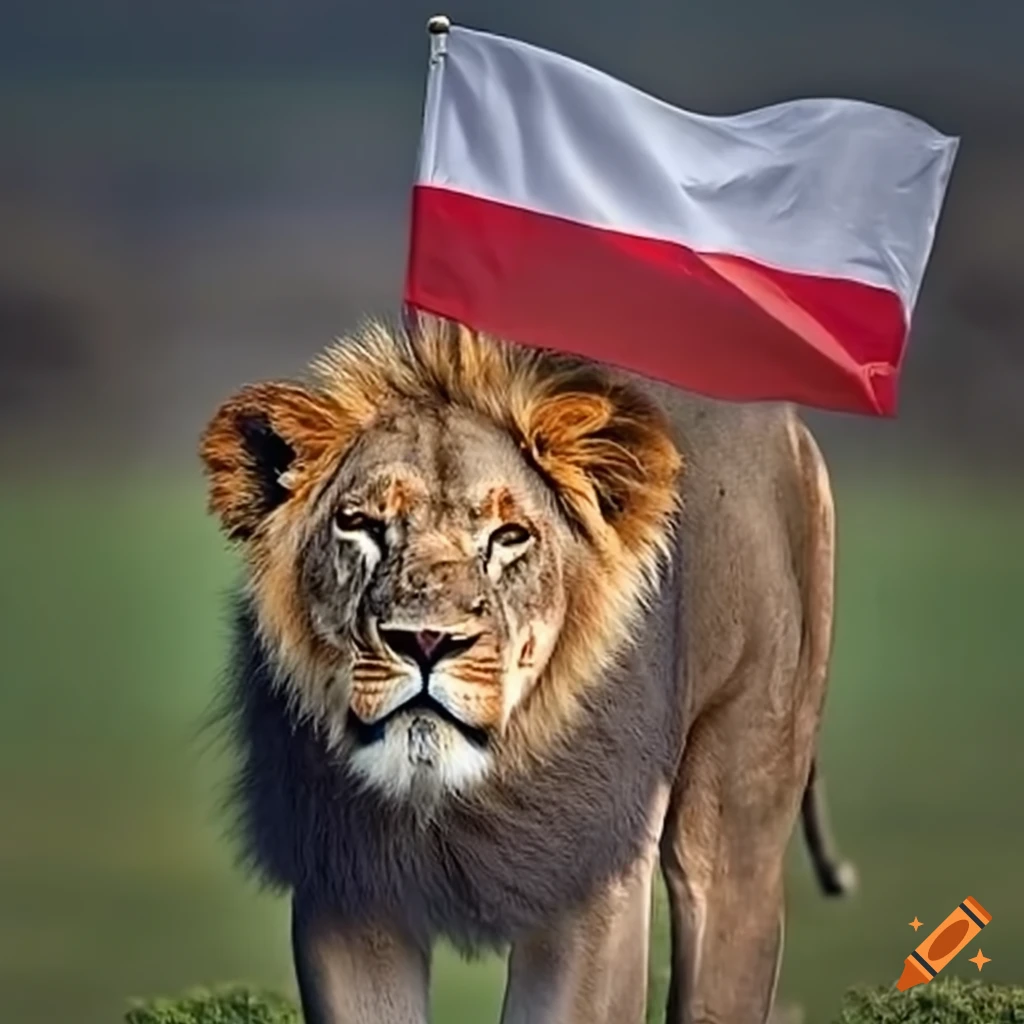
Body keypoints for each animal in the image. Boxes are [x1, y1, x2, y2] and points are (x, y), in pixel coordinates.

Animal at [199, 313, 854, 1024]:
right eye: (360, 524)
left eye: (509, 536)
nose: (425, 641)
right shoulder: (346, 890)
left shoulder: (592, 887)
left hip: (741, 800)